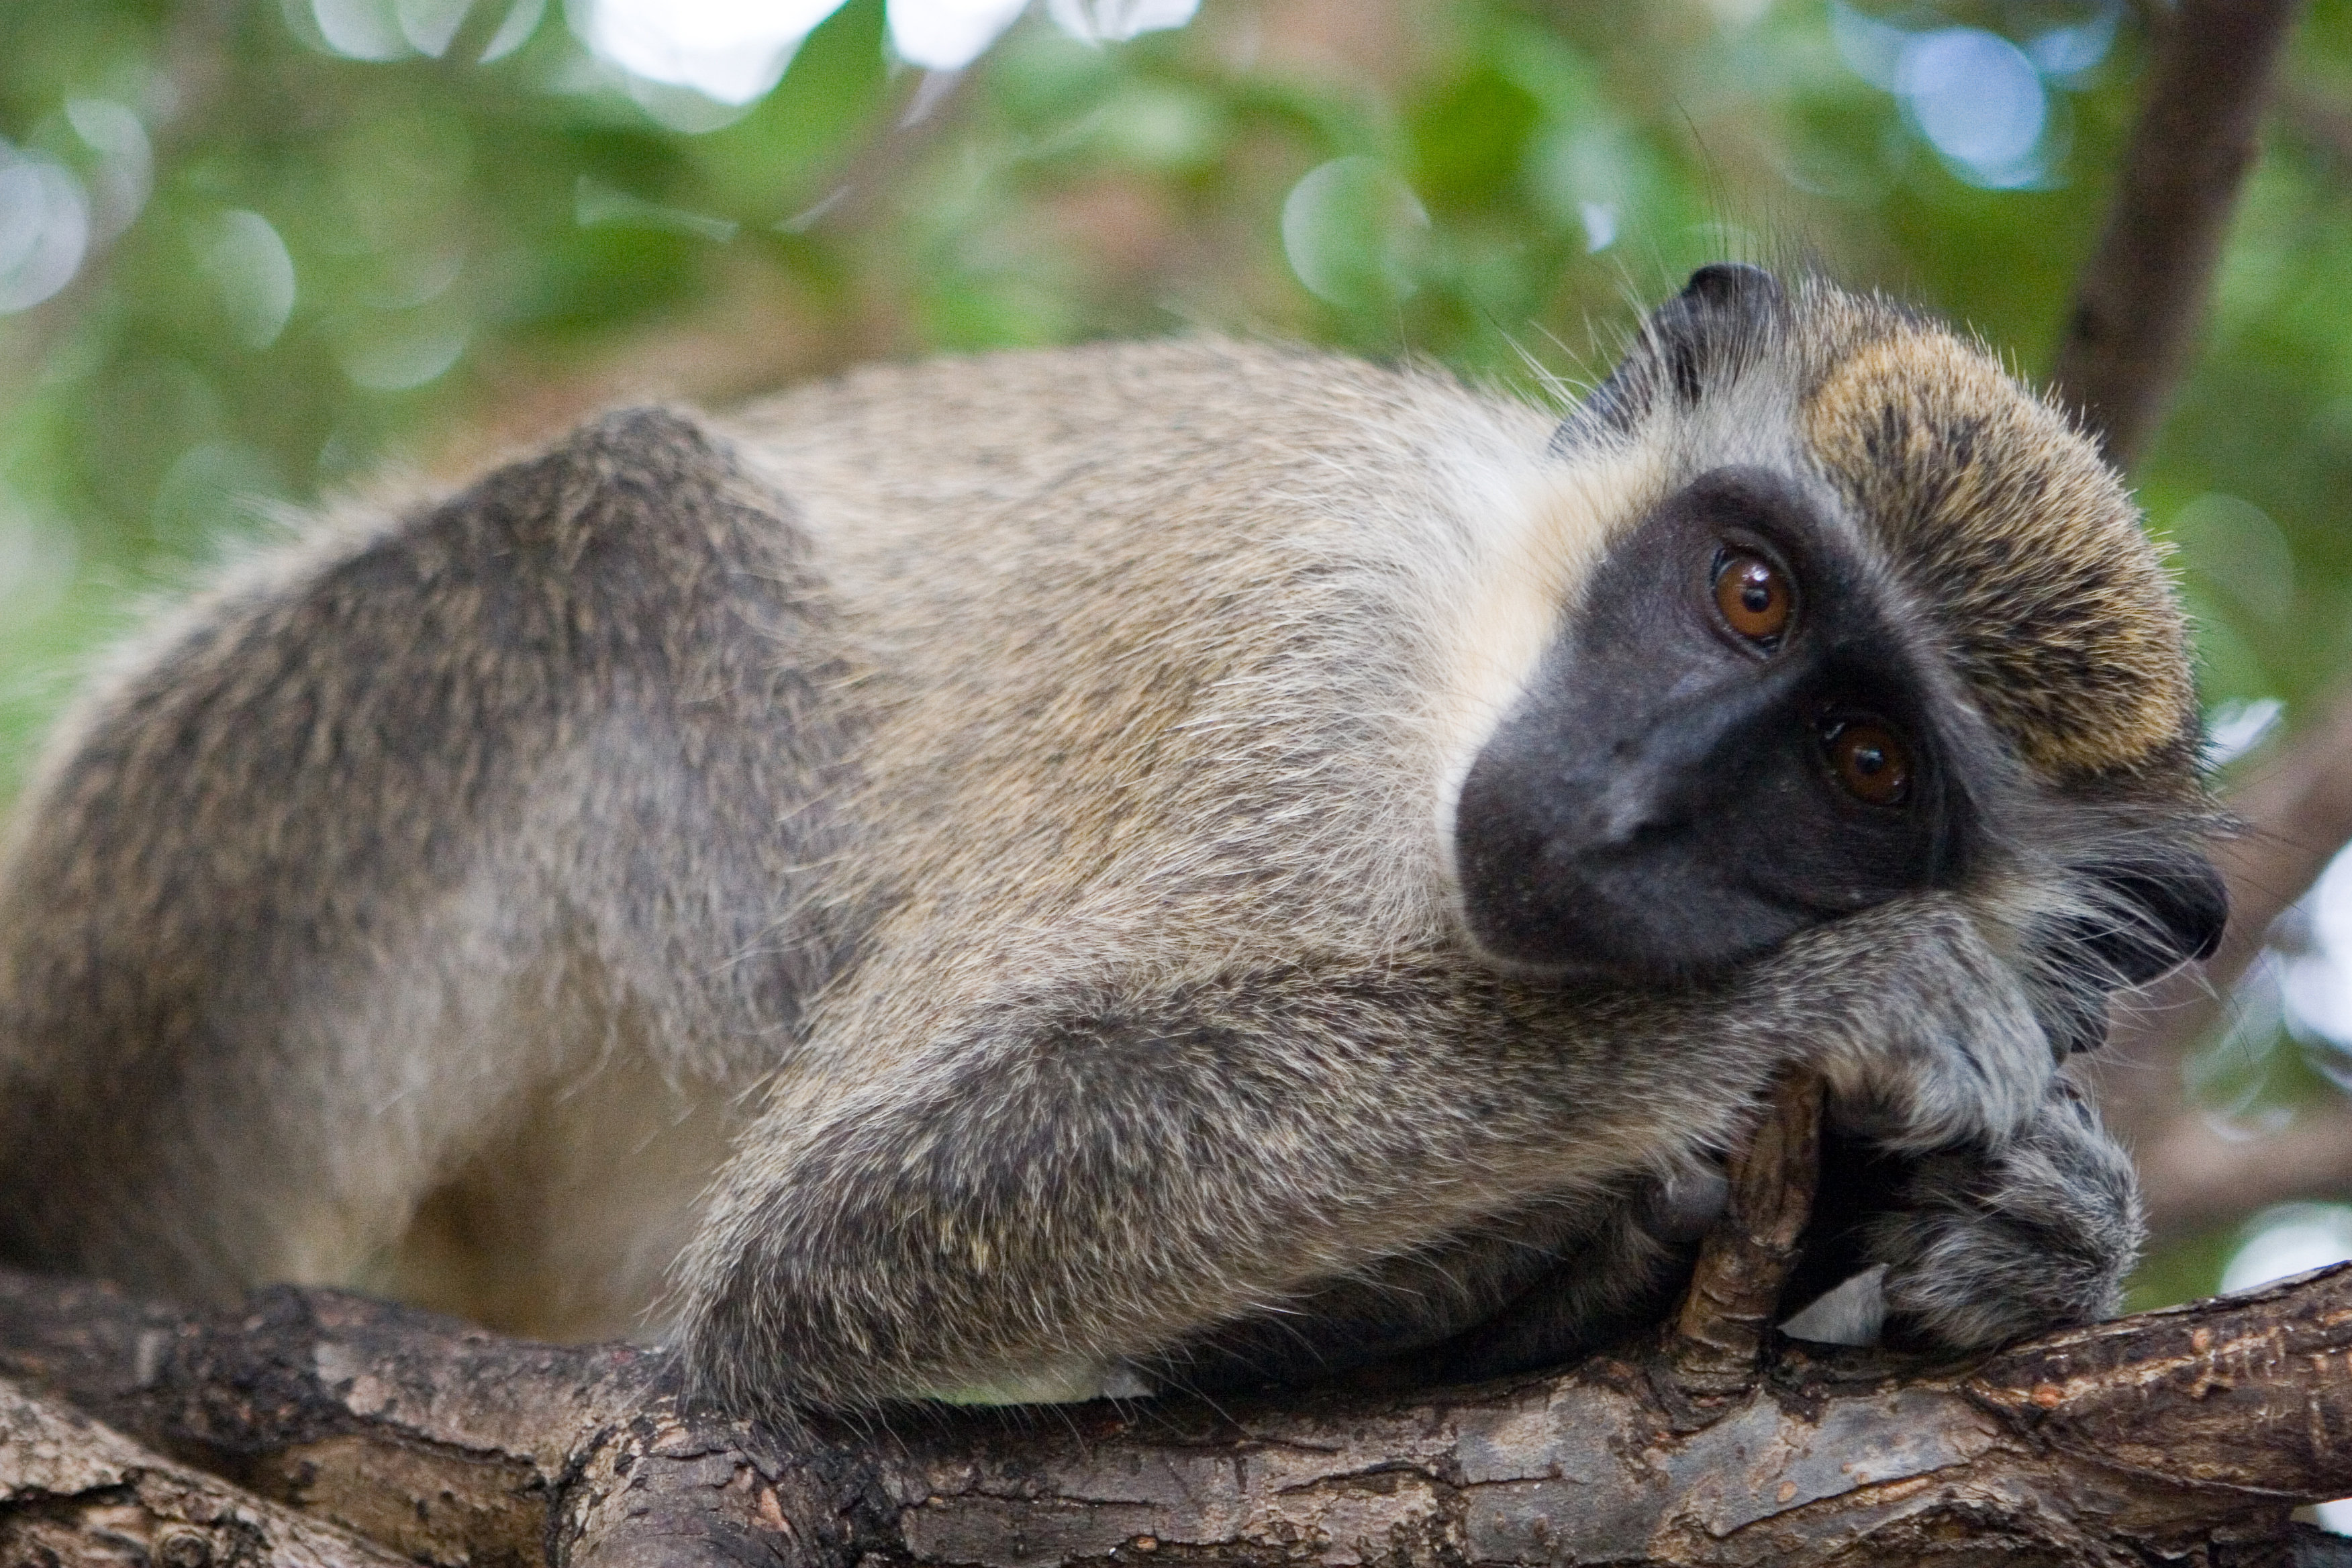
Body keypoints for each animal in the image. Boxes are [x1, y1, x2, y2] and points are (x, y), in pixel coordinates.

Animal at [0, 264, 2223, 1421]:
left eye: (1866, 765)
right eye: (1748, 590)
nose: (1639, 796)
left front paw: (2034, 1223)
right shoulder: (1292, 652)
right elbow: (844, 1222)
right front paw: (1834, 1009)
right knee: (614, 536)